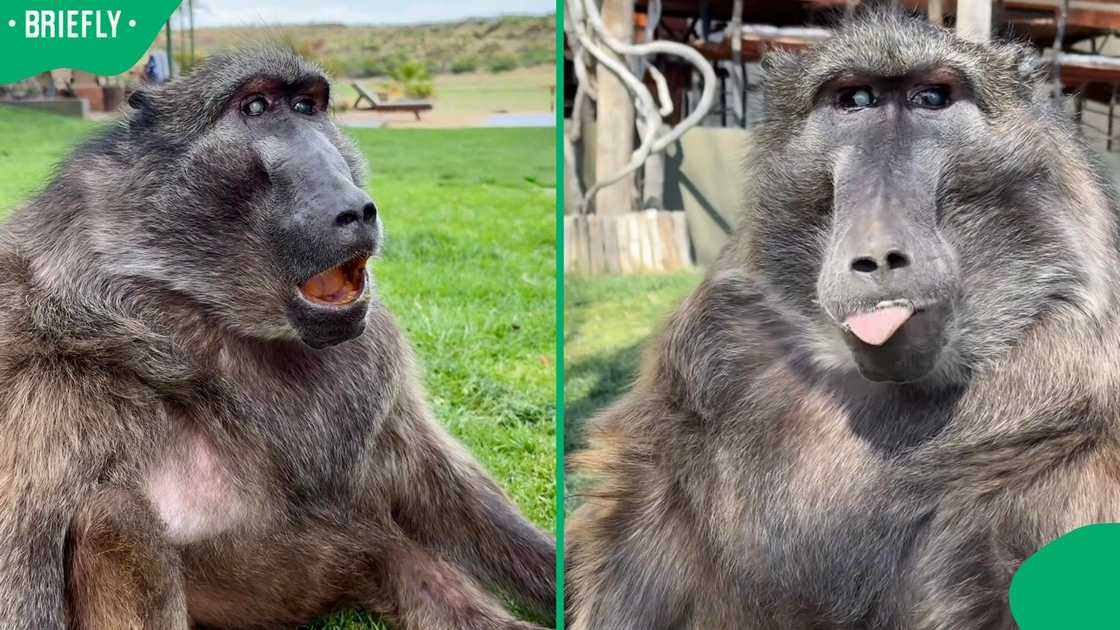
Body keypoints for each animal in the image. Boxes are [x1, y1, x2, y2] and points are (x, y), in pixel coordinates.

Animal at [0, 48, 554, 630]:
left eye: (308, 107)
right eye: (256, 108)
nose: (355, 208)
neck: (203, 312)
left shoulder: (376, 366)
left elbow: (437, 483)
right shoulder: (53, 389)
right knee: (114, 516)